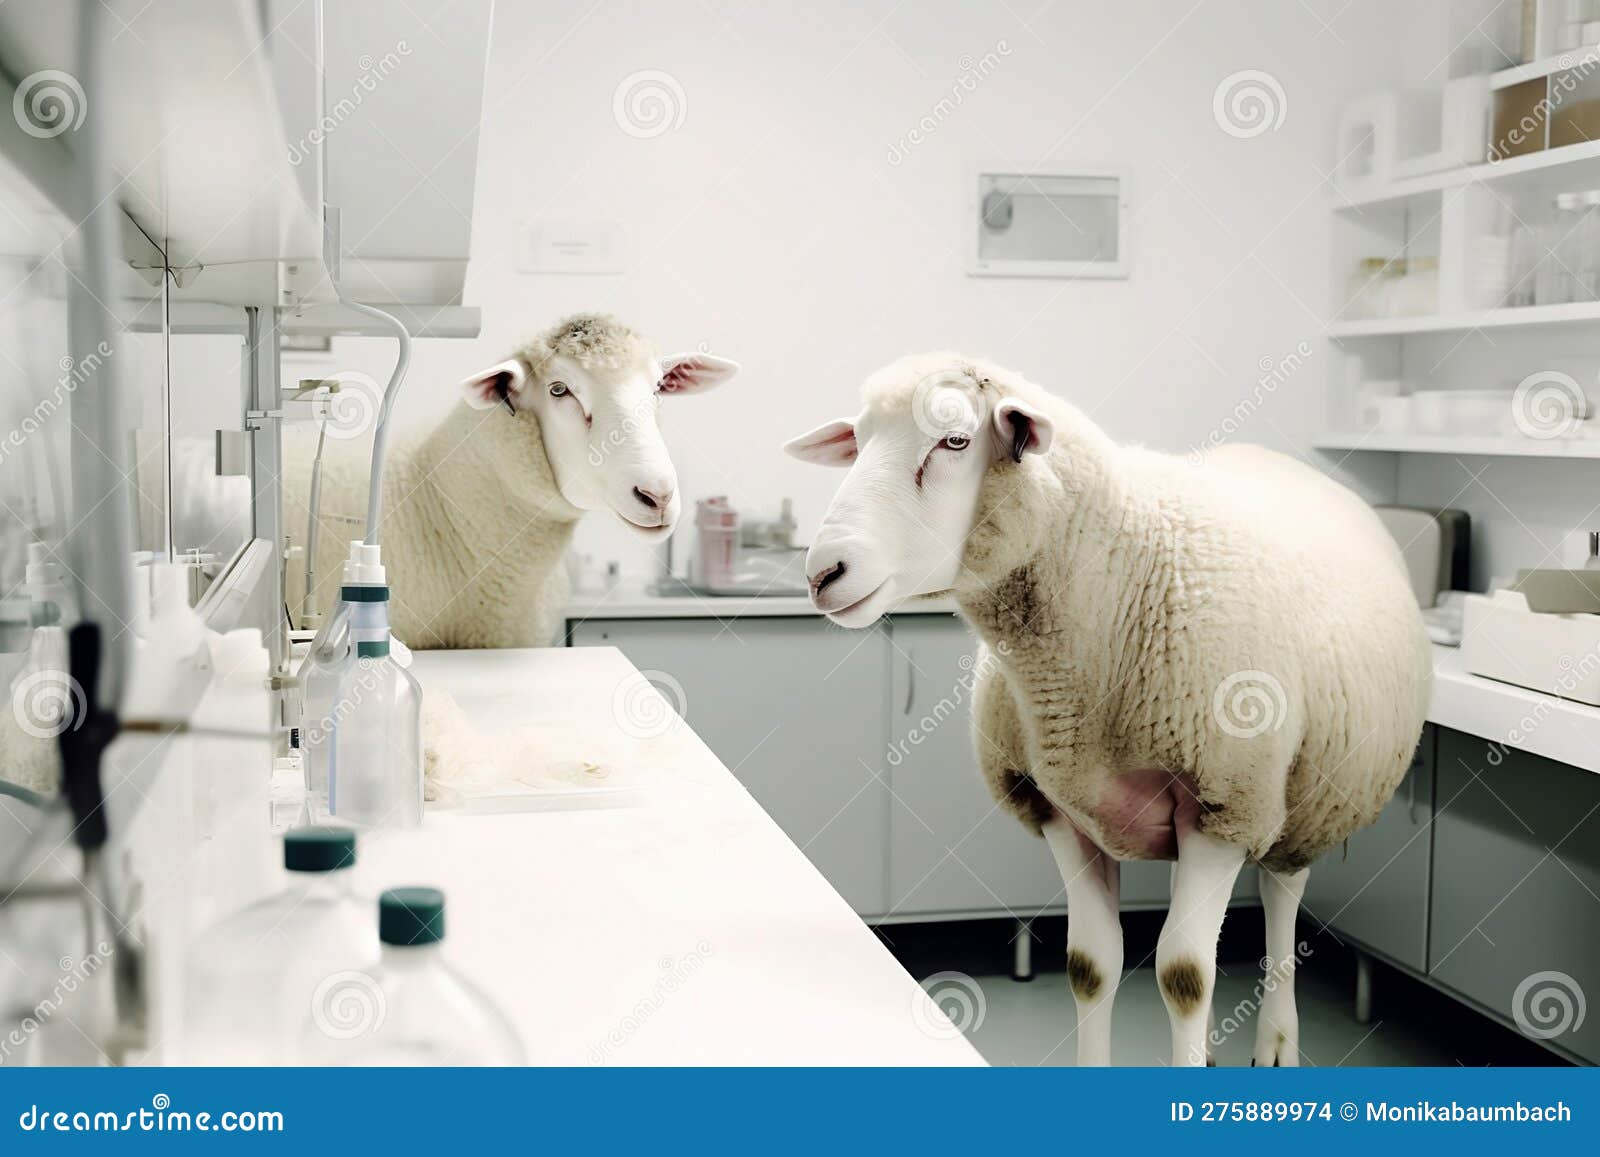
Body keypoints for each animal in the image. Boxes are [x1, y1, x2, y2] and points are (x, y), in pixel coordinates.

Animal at [785, 352, 1431, 1067]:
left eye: (954, 441)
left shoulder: (1223, 804)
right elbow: (1091, 968)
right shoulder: (1060, 806)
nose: (822, 573)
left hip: (1301, 792)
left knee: (1281, 897)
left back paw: (1276, 1042)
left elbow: (1184, 976)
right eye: (858, 441)